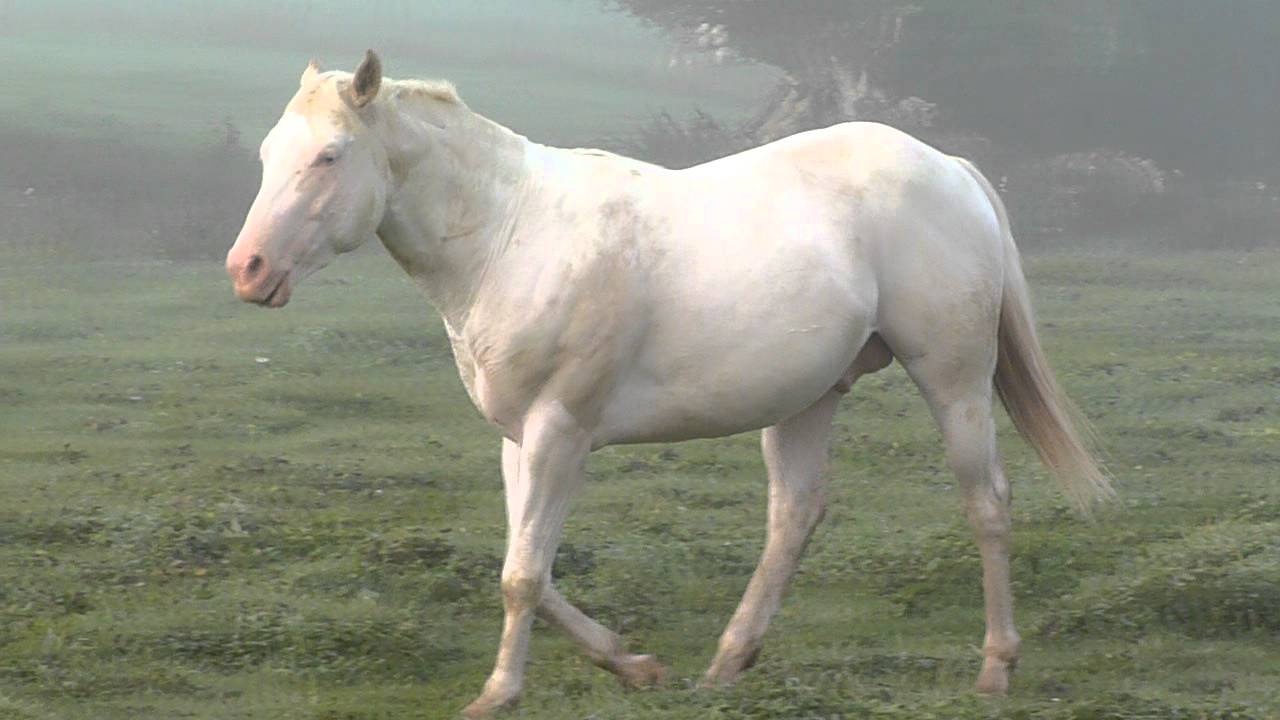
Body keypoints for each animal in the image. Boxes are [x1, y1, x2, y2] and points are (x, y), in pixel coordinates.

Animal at [226, 51, 1111, 717]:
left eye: (329, 157)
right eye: (267, 156)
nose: (248, 270)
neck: (510, 236)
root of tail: (951, 170)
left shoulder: (559, 434)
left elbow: (522, 576)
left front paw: (498, 694)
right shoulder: (519, 442)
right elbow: (529, 569)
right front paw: (635, 665)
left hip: (953, 380)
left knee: (986, 504)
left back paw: (995, 668)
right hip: (808, 399)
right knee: (795, 516)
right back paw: (726, 665)